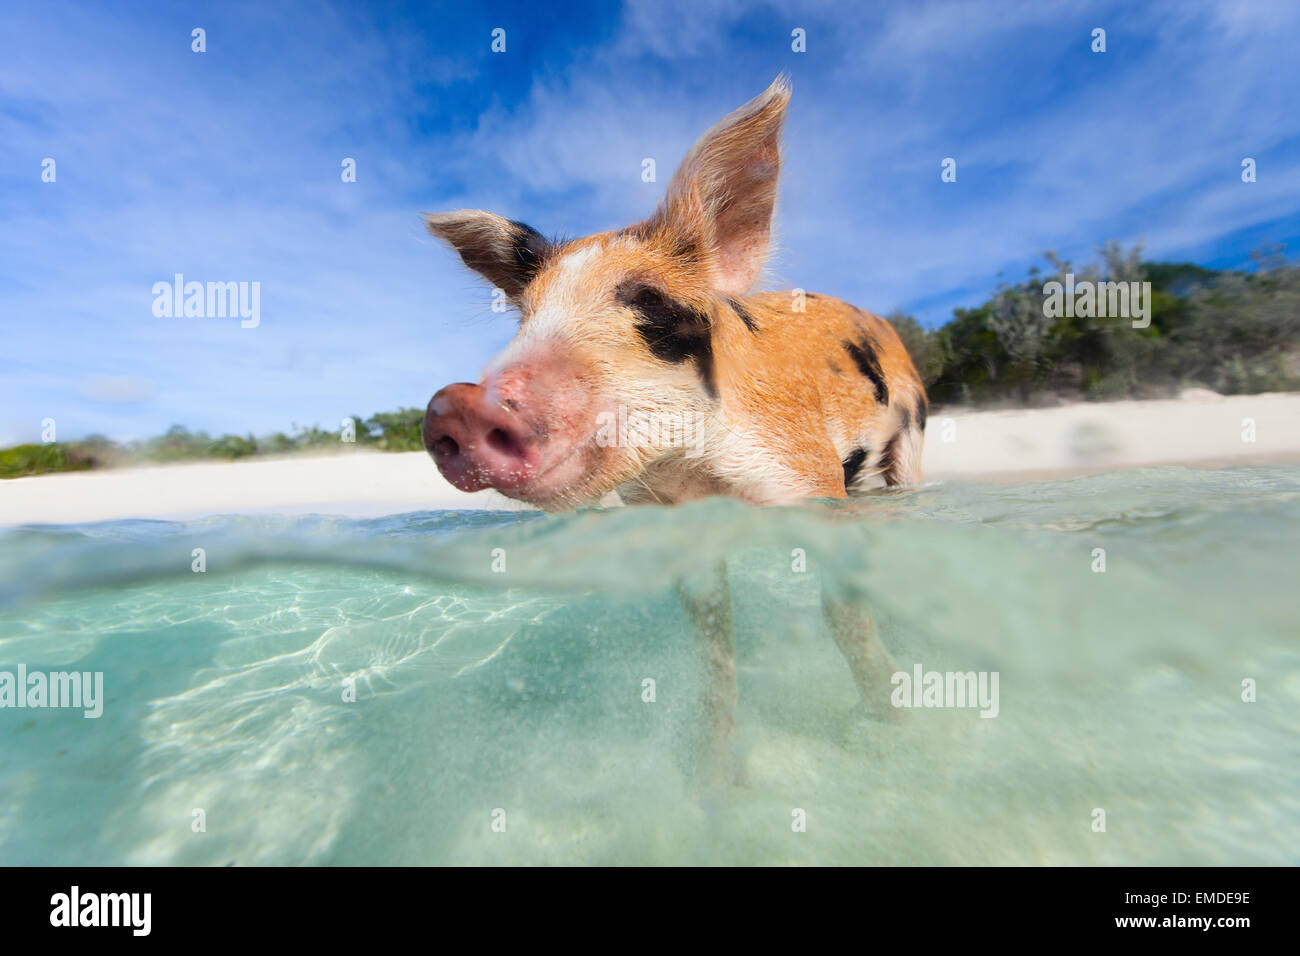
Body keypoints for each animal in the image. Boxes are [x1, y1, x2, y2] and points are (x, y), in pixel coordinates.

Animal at [422, 76, 926, 775]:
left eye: (651, 302)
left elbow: (842, 616)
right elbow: (712, 645)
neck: (700, 476)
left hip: (912, 439)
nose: (456, 402)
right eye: (524, 316)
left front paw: (894, 730)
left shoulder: (814, 483)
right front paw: (715, 773)